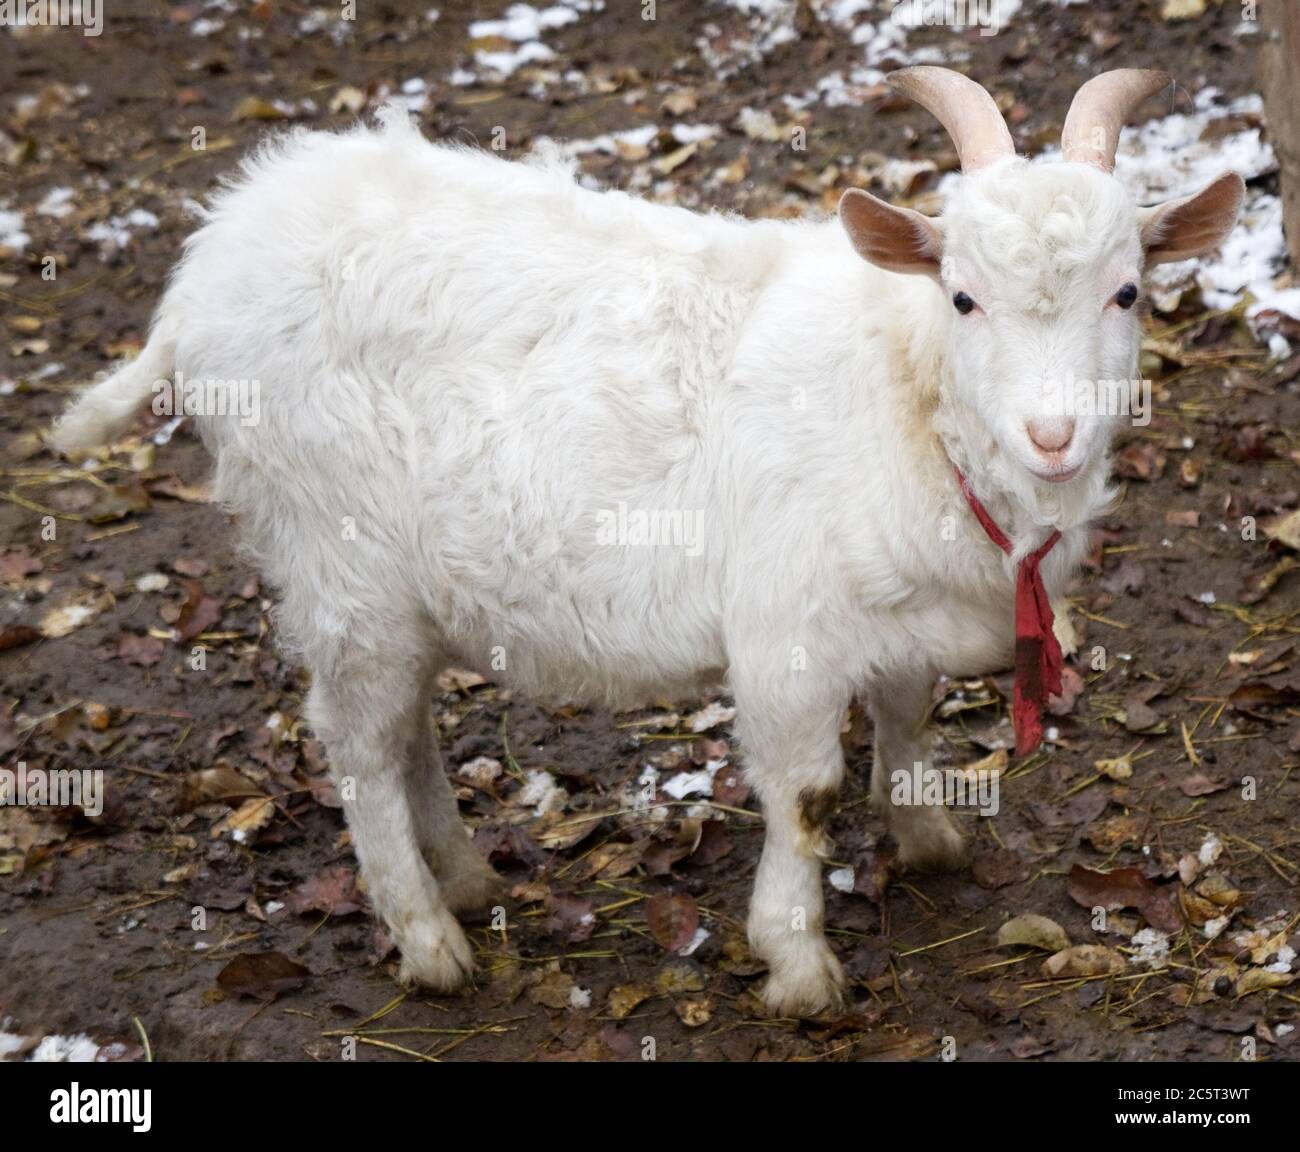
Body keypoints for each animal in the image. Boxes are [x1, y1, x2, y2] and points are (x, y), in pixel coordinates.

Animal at [52, 68, 1243, 1016]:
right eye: (962, 298)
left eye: (1127, 290)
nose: (1053, 435)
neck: (901, 390)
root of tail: (206, 264)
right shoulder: (784, 632)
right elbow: (805, 793)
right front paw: (797, 964)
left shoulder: (899, 613)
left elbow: (907, 714)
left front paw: (926, 839)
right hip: (337, 553)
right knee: (355, 740)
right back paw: (428, 940)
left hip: (402, 582)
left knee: (403, 724)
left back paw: (467, 880)